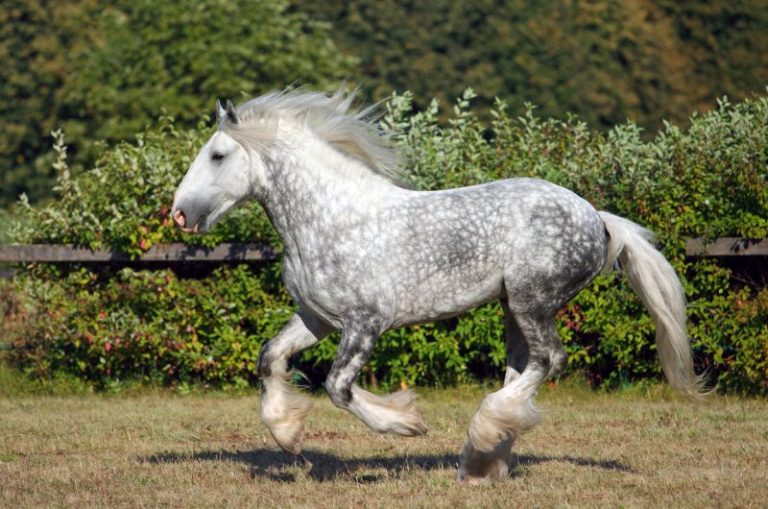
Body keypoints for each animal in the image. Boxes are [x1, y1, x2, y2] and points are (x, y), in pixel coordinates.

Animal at [171, 88, 702, 483]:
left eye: (217, 155)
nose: (179, 213)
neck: (332, 219)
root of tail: (598, 218)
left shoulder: (364, 324)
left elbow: (338, 387)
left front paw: (405, 423)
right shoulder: (318, 318)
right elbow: (270, 358)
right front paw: (287, 436)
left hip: (533, 301)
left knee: (549, 361)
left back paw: (481, 441)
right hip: (512, 307)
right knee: (522, 372)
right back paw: (484, 459)